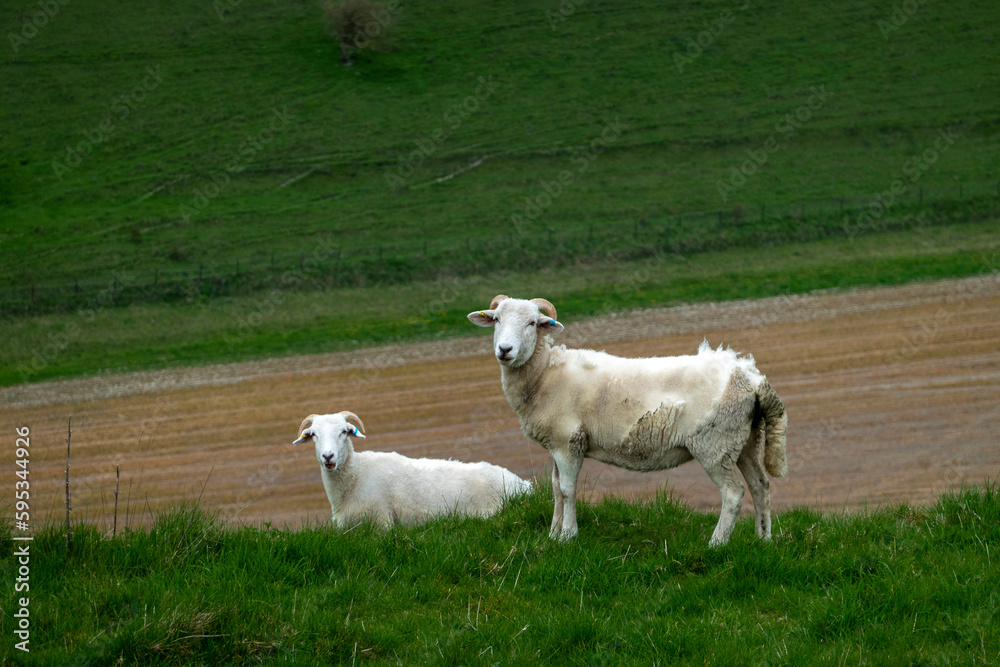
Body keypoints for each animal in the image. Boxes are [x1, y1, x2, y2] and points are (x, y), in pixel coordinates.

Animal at [292, 411, 531, 529]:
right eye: (313, 434)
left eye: (344, 431)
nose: (328, 456)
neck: (357, 476)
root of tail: (525, 484)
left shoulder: (382, 521)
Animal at [468, 295, 788, 546]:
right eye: (496, 319)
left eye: (533, 323)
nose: (505, 350)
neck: (546, 374)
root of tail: (750, 376)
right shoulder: (556, 443)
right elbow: (556, 489)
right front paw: (553, 535)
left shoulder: (568, 441)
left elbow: (568, 490)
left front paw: (568, 535)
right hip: (744, 439)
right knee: (760, 485)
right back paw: (764, 540)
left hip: (714, 444)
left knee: (733, 493)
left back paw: (717, 544)